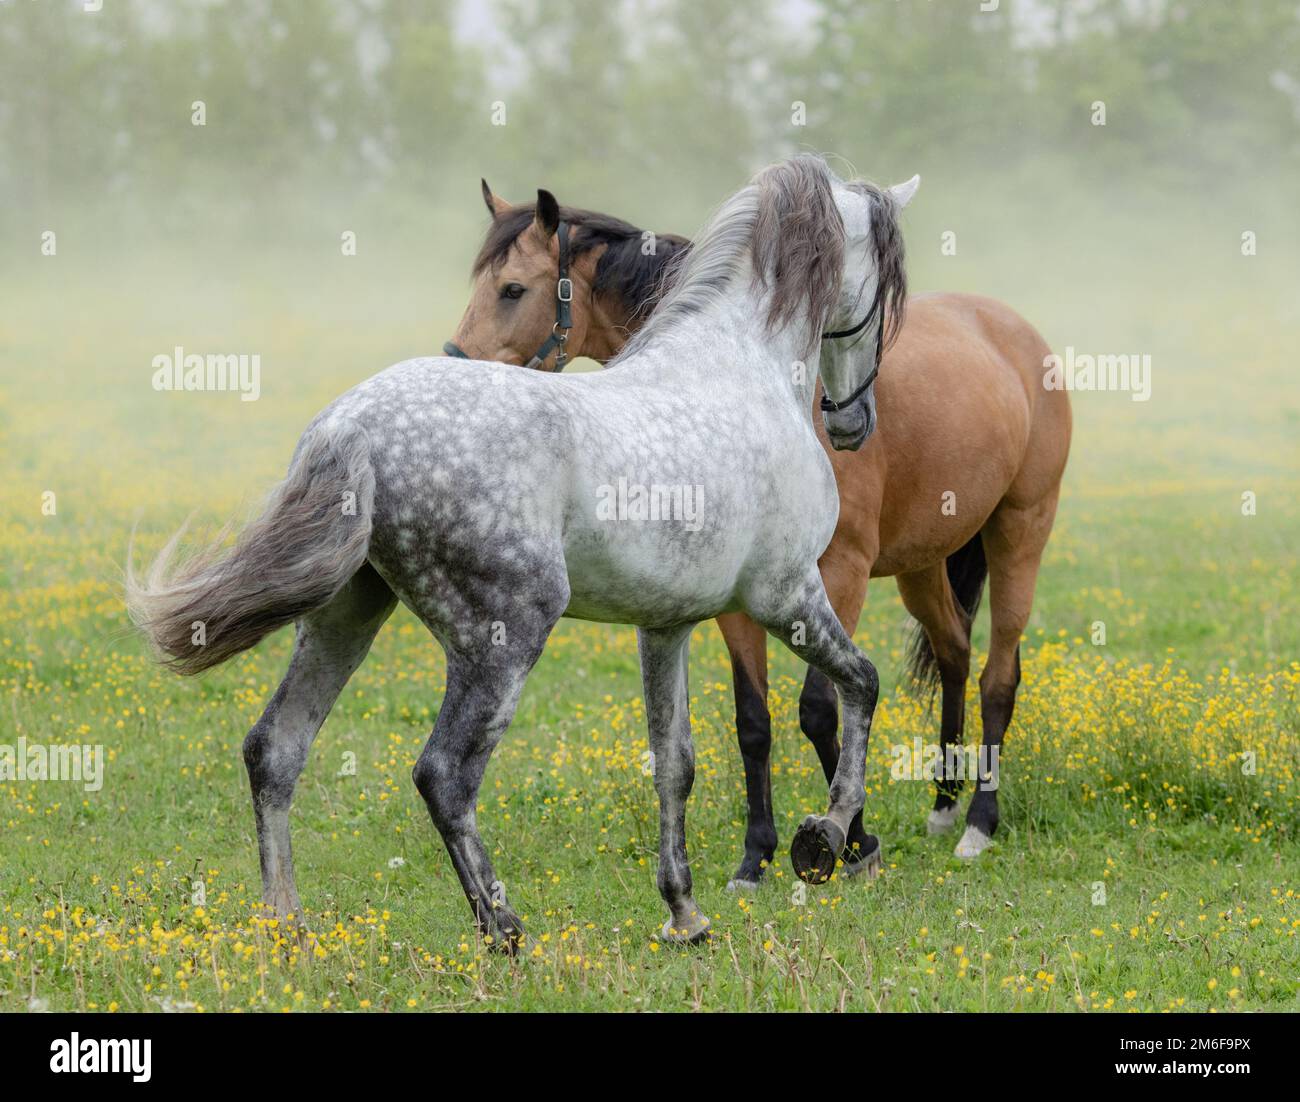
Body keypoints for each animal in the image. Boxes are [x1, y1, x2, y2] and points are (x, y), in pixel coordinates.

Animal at [128, 154, 918, 947]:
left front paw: (684, 915)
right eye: (882, 283)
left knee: (276, 749)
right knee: (444, 774)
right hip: (504, 634)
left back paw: (287, 927)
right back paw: (503, 928)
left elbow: (674, 763)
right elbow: (862, 684)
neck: (739, 365)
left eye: (512, 289)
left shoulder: (666, 626)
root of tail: (351, 426)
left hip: (344, 616)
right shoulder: (785, 593)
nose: (853, 421)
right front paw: (826, 838)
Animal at [445, 177, 1071, 884]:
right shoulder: (737, 598)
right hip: (921, 565)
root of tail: (1012, 330)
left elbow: (823, 707)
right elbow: (755, 721)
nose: (454, 370)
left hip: (1020, 531)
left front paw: (853, 841)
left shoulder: (840, 574)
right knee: (955, 651)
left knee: (999, 676)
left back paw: (979, 822)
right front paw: (757, 854)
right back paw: (943, 802)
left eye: (512, 289)